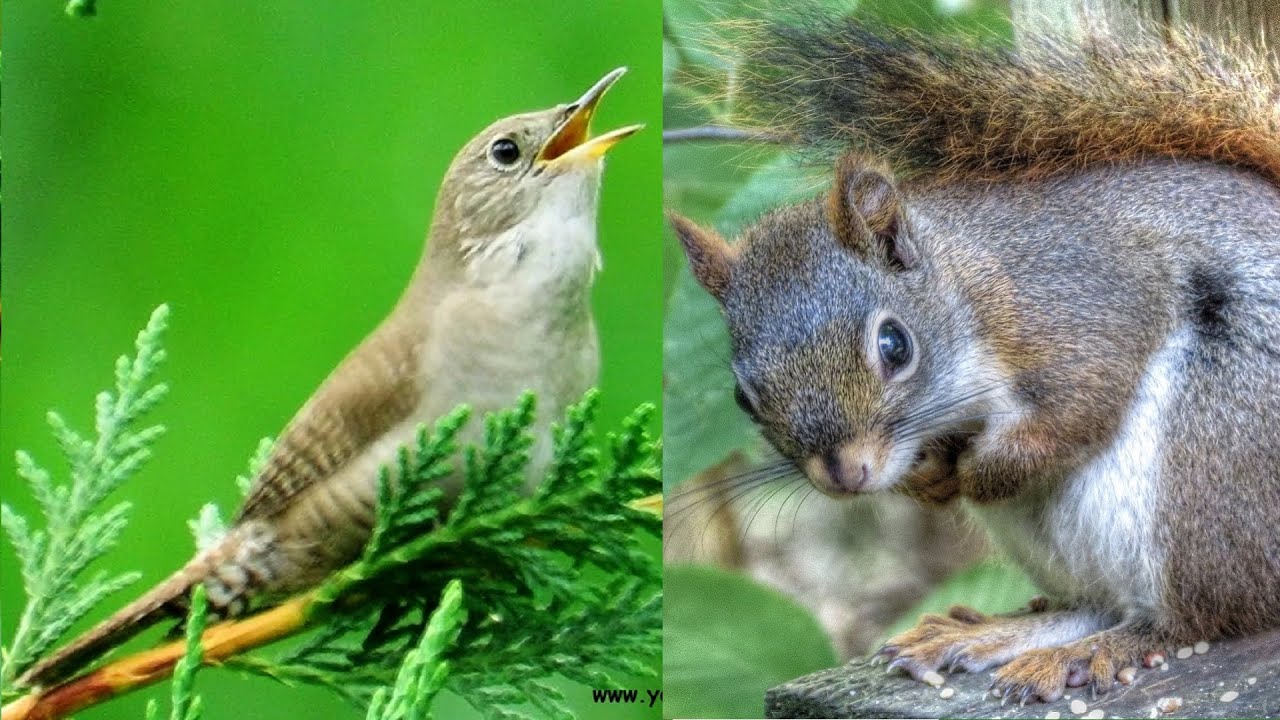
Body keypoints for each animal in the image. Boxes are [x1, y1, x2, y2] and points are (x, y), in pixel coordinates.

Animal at [670, 14, 1280, 705]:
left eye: (894, 345)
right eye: (742, 397)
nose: (845, 475)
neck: (970, 279)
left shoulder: (1091, 313)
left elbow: (1077, 411)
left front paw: (977, 474)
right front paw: (930, 480)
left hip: (1211, 453)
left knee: (1196, 617)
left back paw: (1095, 651)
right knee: (1098, 602)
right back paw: (994, 636)